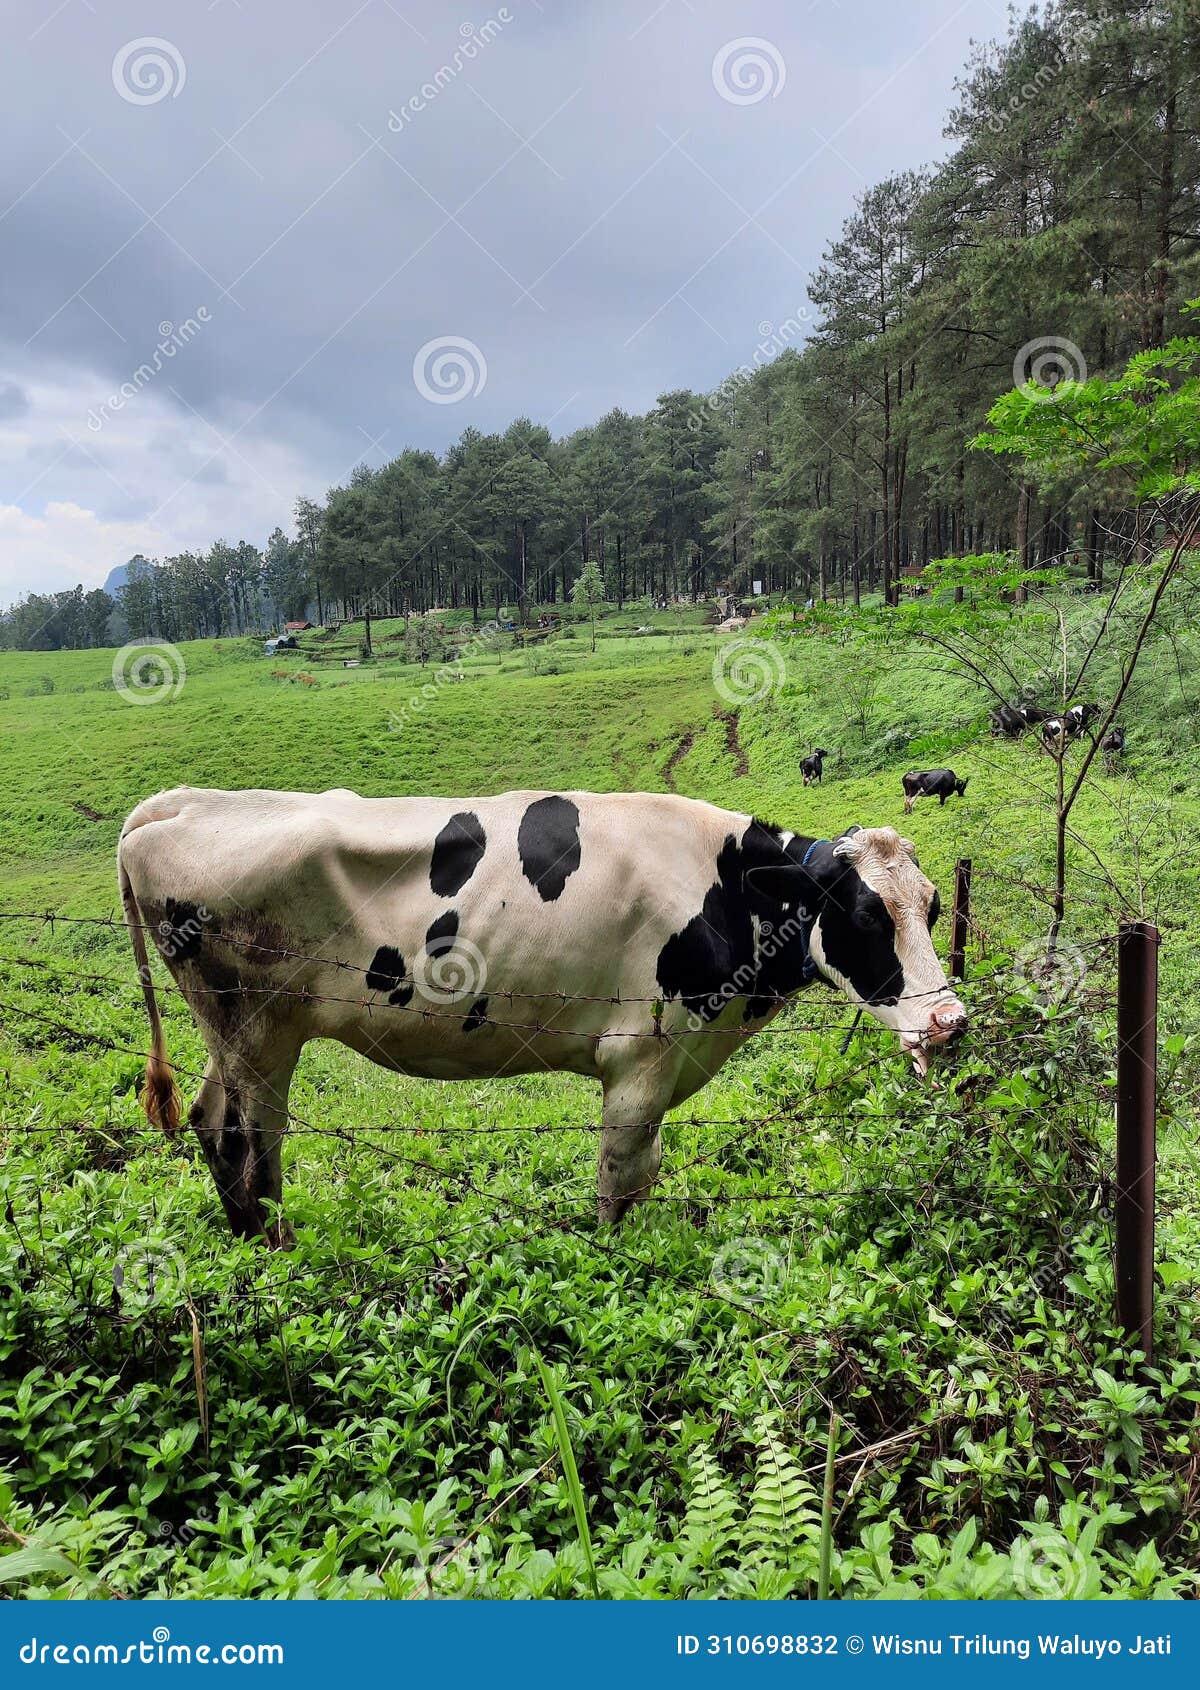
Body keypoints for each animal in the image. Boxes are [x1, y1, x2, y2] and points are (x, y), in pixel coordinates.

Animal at [118, 787, 968, 1243]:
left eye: (931, 906)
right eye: (863, 915)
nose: (948, 1022)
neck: (721, 889)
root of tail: (176, 805)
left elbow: (644, 1177)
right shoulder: (639, 1060)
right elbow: (618, 1188)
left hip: (238, 1031)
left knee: (213, 1123)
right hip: (260, 1028)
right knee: (246, 1139)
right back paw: (280, 1253)